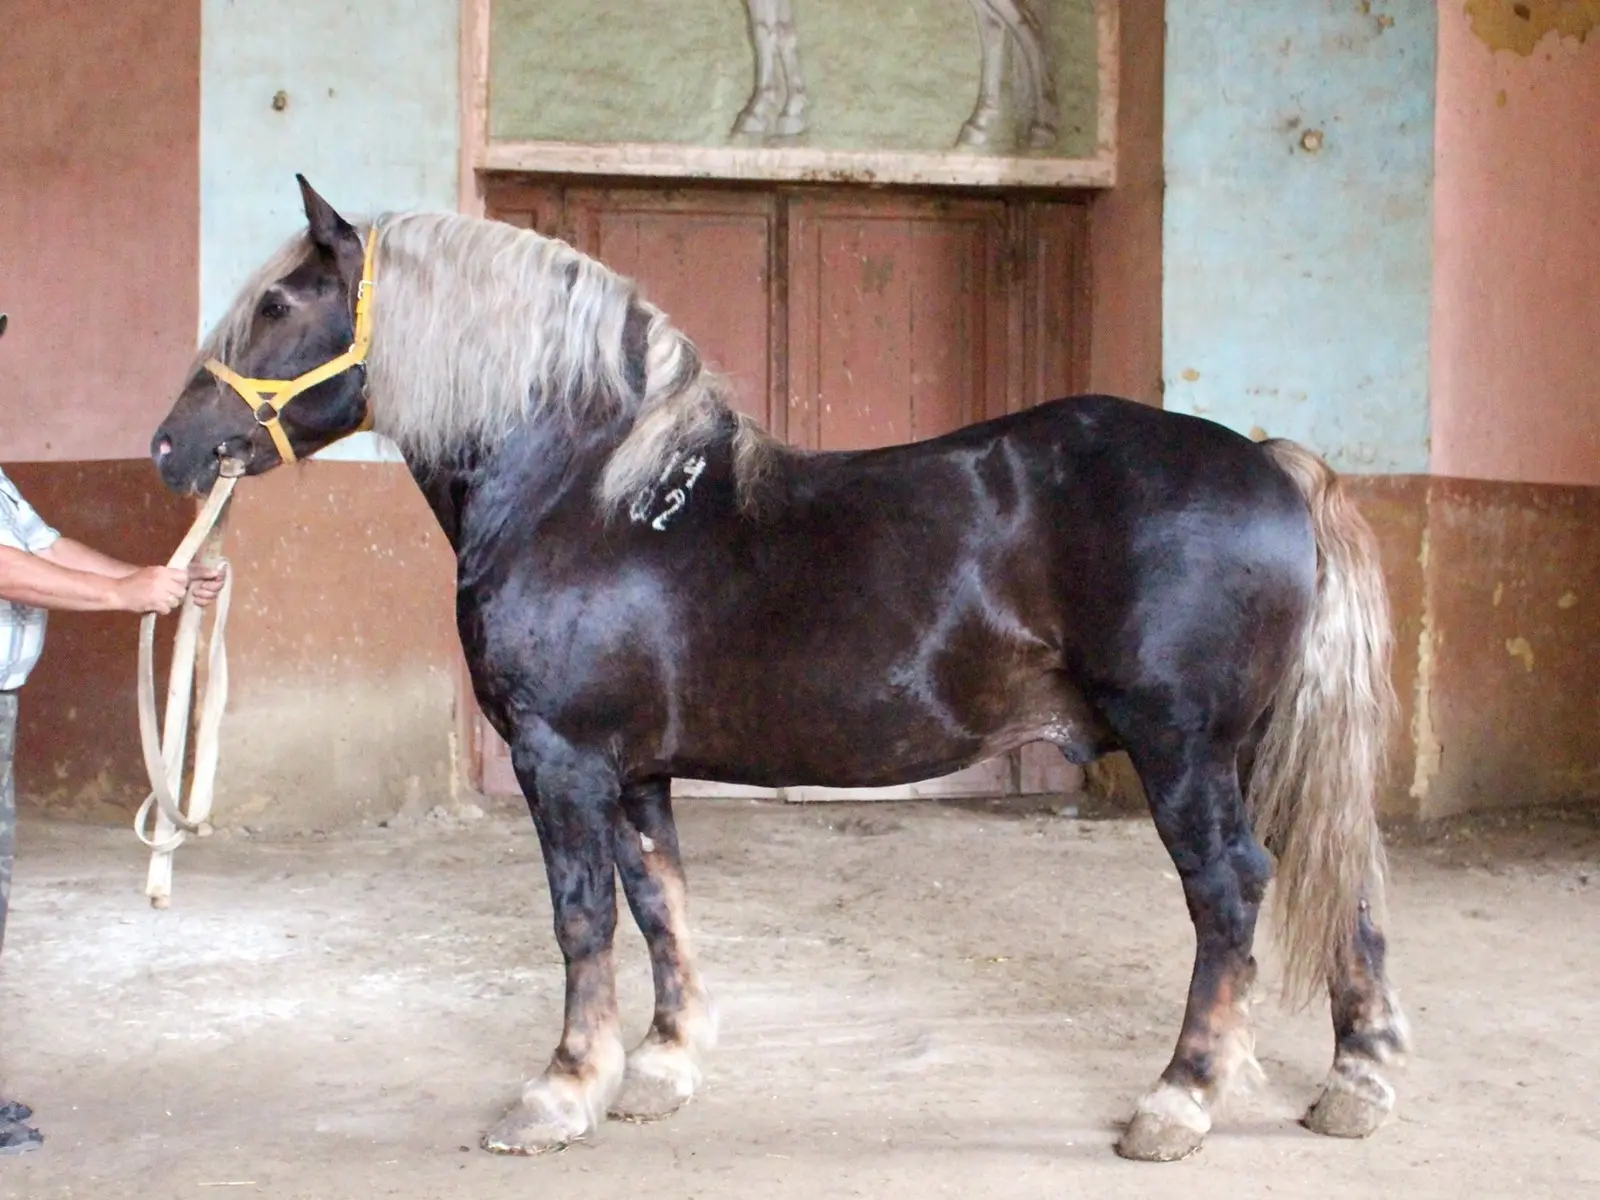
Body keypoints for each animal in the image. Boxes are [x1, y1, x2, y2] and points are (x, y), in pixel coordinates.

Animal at [150, 176, 1410, 1163]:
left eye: (278, 302)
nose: (170, 448)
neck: (588, 496)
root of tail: (1273, 464)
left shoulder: (561, 762)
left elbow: (580, 920)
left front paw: (558, 1092)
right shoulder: (633, 771)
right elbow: (658, 902)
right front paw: (659, 1071)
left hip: (1182, 747)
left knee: (1231, 891)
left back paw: (1178, 1102)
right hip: (1256, 747)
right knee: (1337, 878)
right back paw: (1355, 1082)